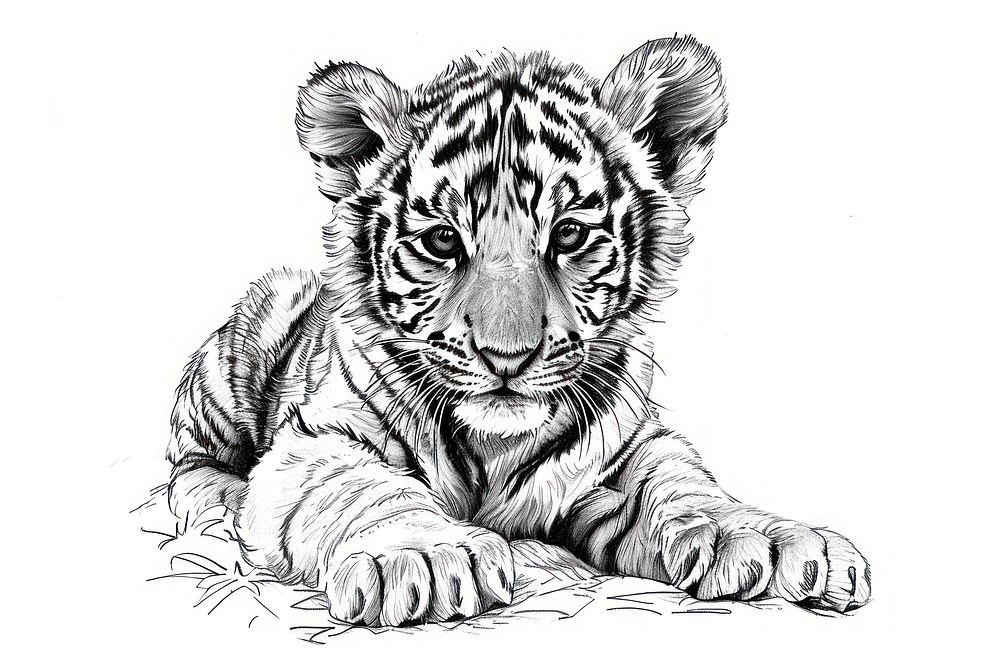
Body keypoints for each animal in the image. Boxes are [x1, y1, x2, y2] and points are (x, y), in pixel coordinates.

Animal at [166, 36, 871, 626]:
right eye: (442, 240)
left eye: (570, 234)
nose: (507, 356)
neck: (494, 448)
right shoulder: (321, 439)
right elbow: (363, 489)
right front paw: (428, 555)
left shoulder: (626, 448)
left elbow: (682, 485)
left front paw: (773, 541)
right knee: (189, 462)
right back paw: (216, 501)